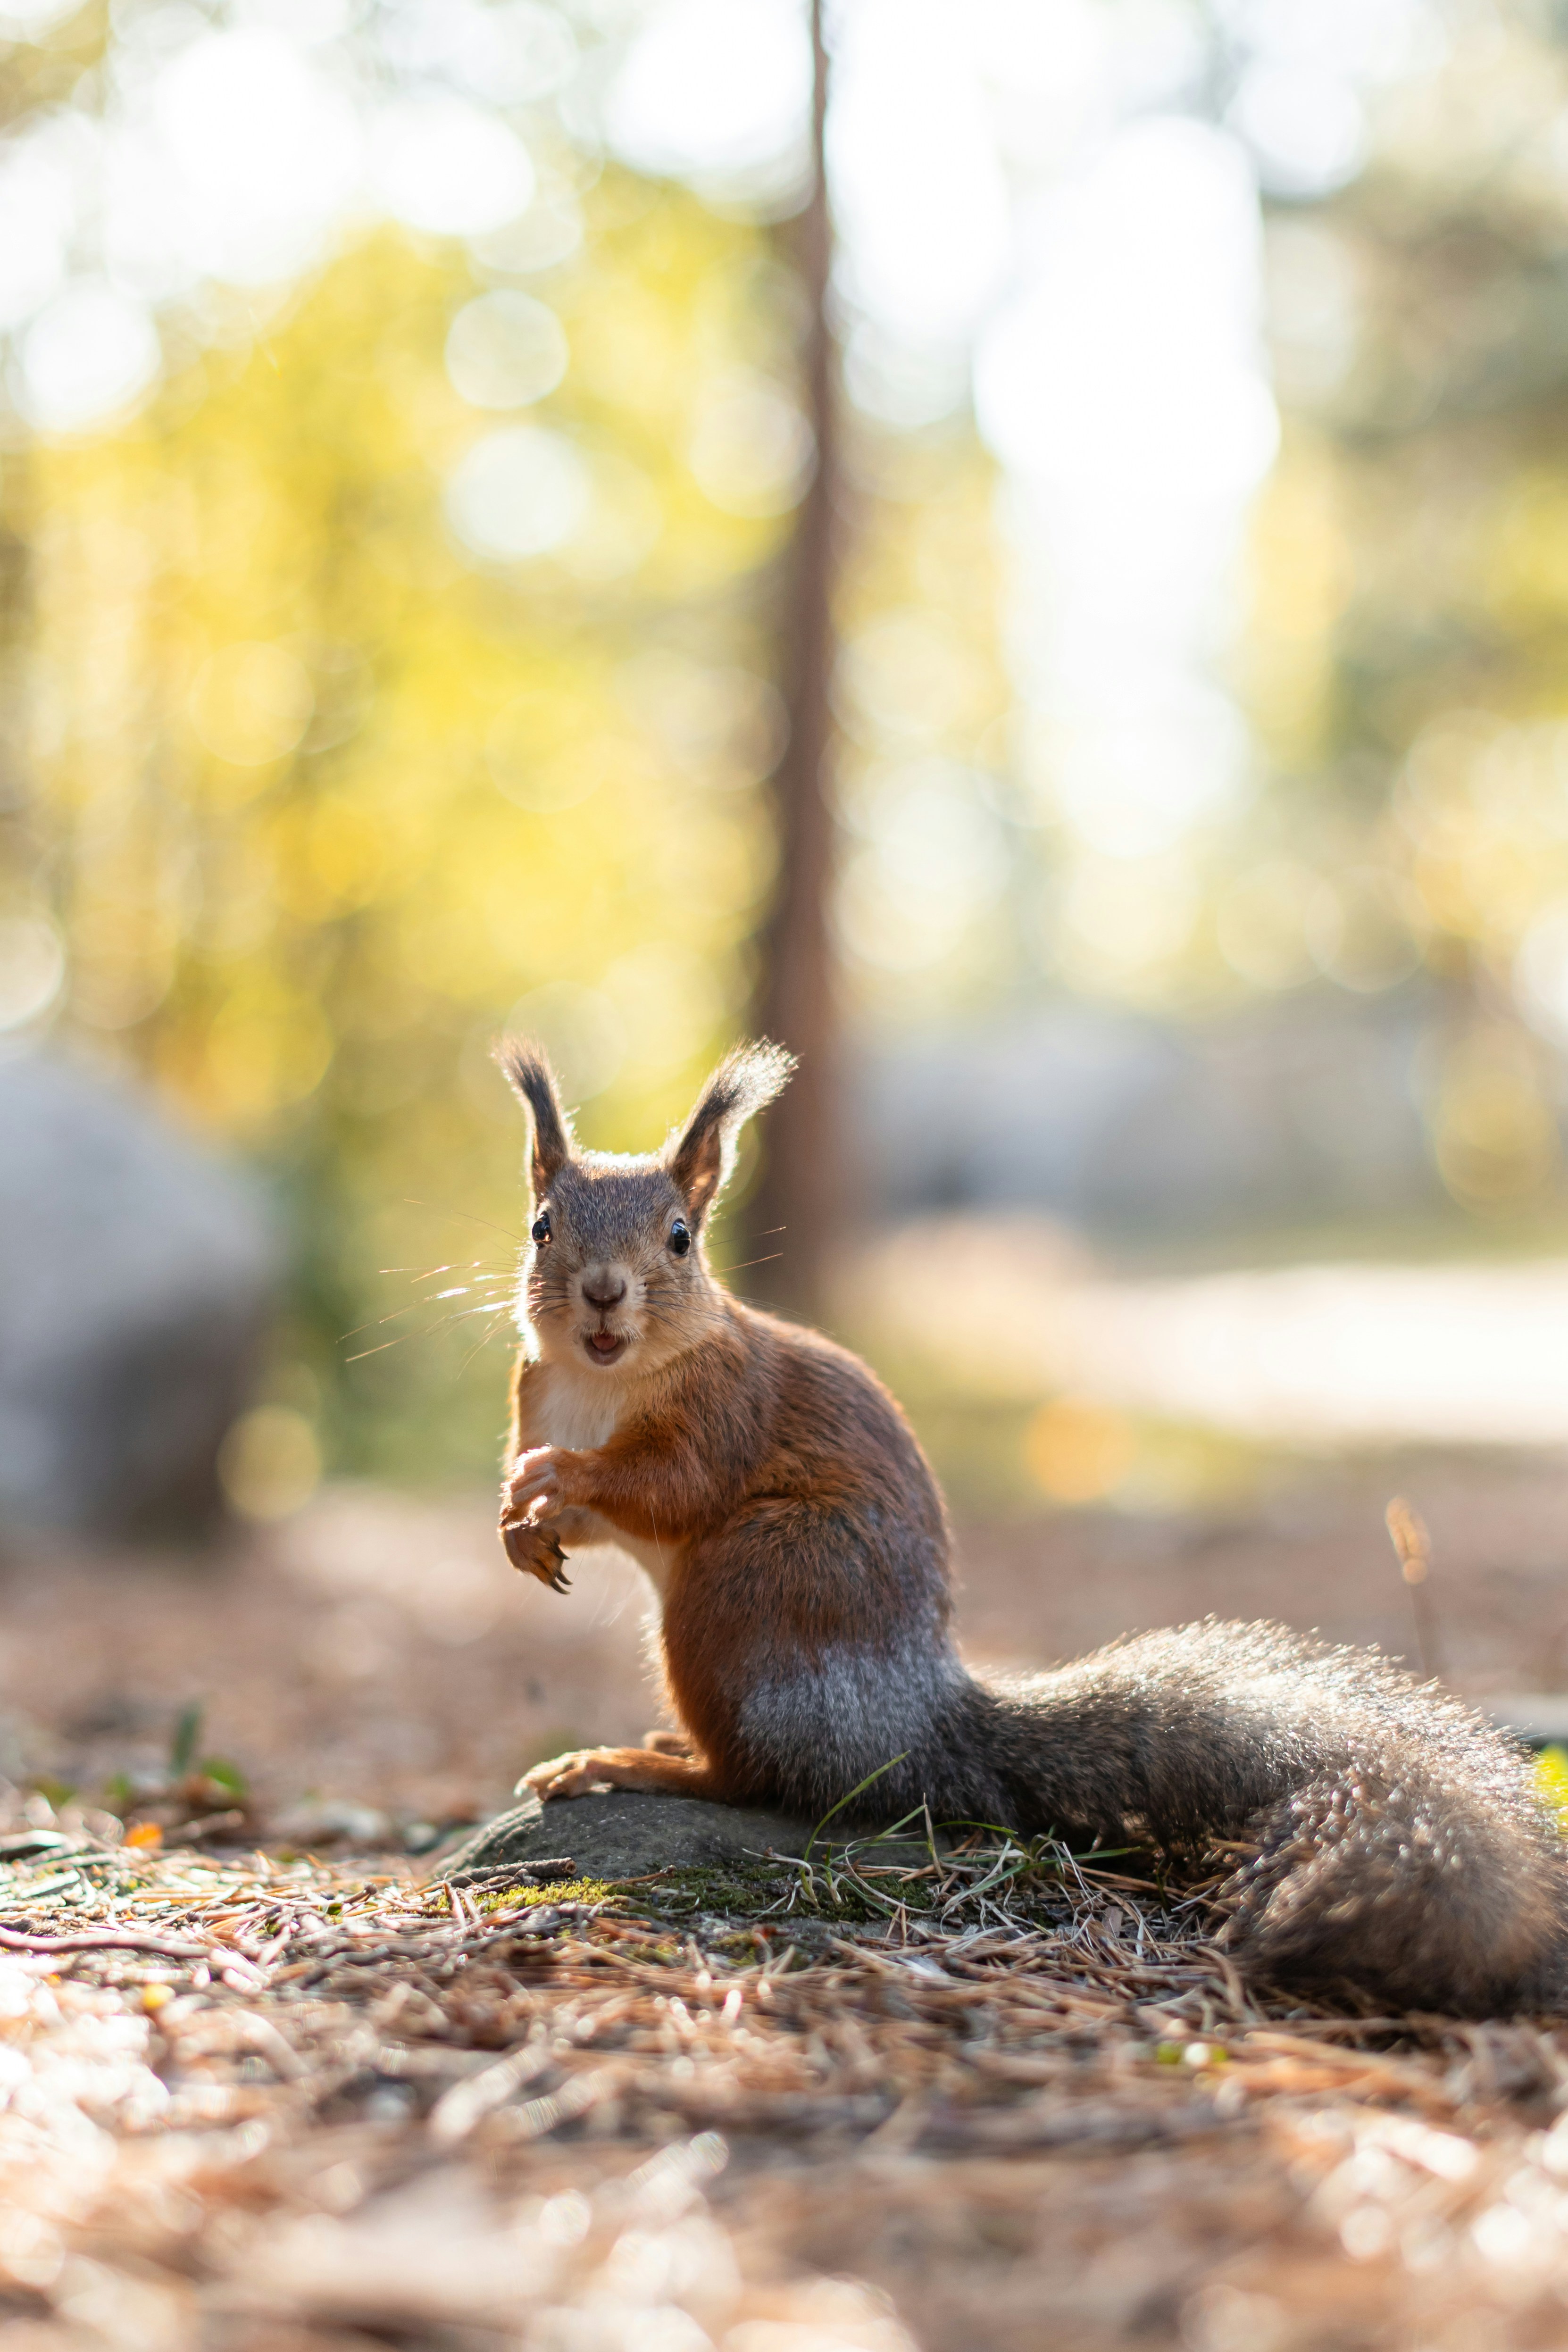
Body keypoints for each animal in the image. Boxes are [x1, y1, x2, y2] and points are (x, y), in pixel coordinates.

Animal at [496, 1037, 1568, 2017]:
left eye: (681, 1237)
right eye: (542, 1226)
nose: (603, 1292)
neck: (600, 1380)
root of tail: (916, 1720)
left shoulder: (726, 1409)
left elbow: (669, 1486)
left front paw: (558, 1476)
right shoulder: (536, 1392)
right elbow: (587, 1520)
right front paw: (520, 1525)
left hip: (752, 1584)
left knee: (754, 1778)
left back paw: (634, 1764)